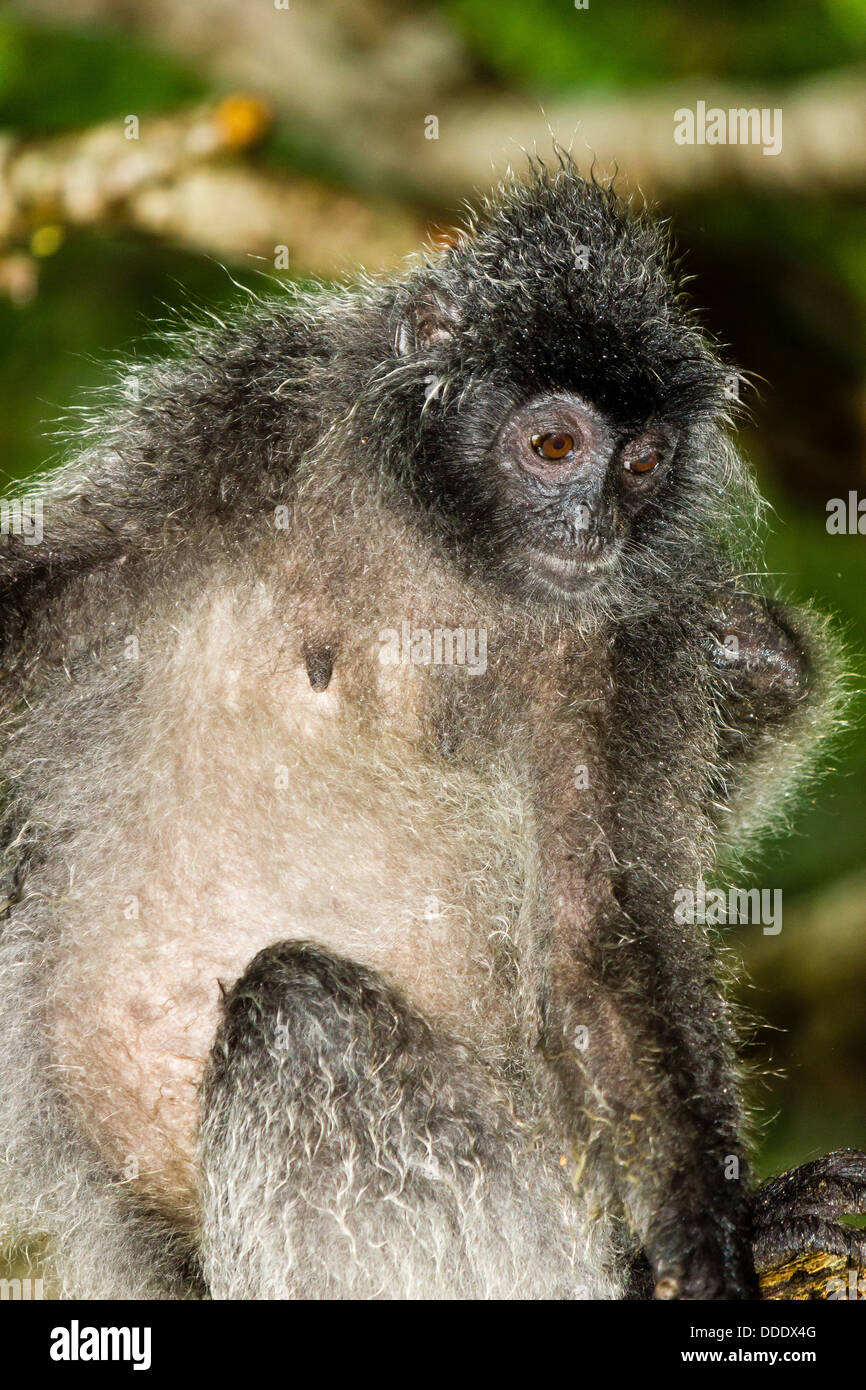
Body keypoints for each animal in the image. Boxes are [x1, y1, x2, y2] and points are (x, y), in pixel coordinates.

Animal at [0, 155, 863, 1300]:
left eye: (640, 465)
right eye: (555, 444)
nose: (592, 525)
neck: (441, 548)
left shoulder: (630, 629)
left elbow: (597, 937)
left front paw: (709, 1234)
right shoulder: (237, 423)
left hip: (535, 1228)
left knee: (296, 1006)